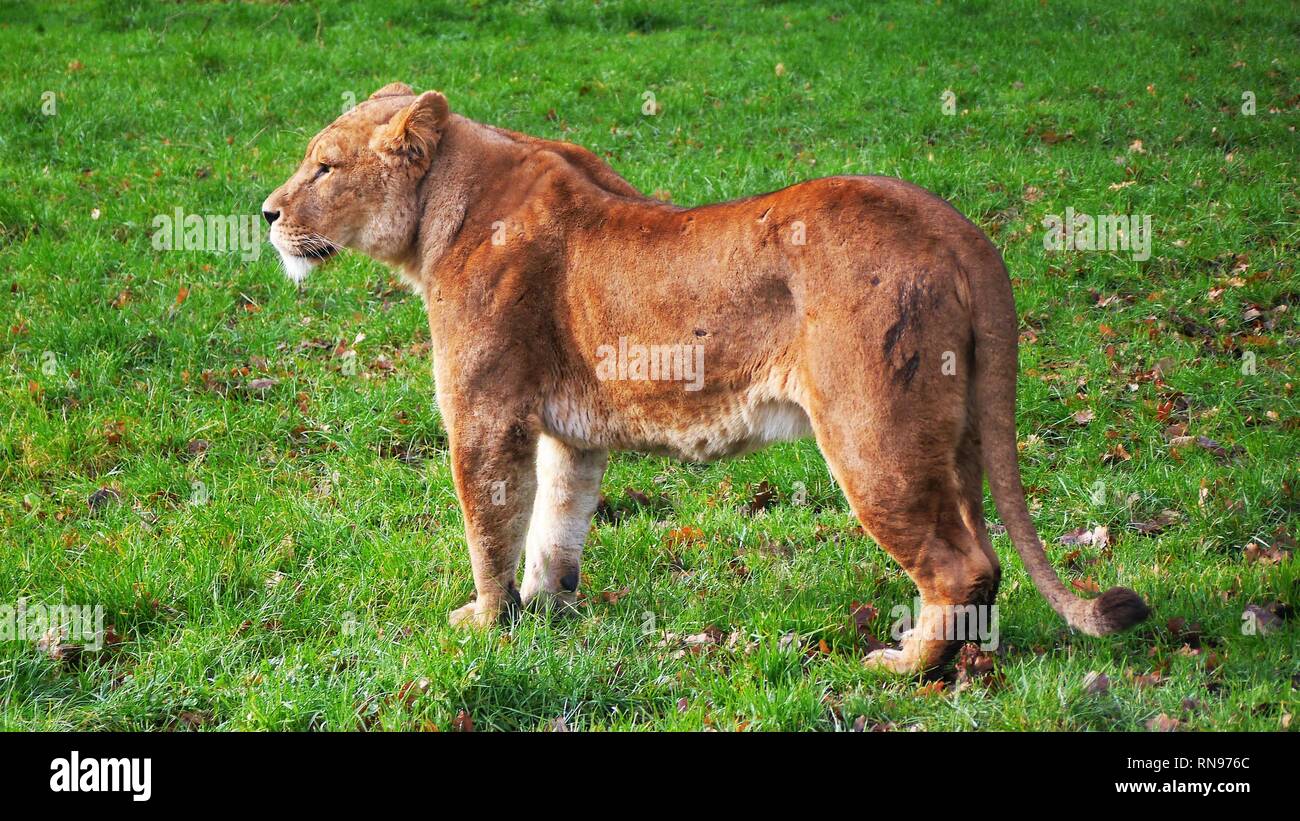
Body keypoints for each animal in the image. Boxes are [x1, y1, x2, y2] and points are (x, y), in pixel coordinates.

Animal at [261, 84, 1148, 673]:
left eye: (325, 168)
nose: (267, 214)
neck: (440, 214)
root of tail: (959, 229)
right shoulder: (570, 434)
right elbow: (556, 527)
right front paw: (547, 612)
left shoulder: (486, 415)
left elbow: (491, 527)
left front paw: (485, 623)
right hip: (955, 435)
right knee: (983, 554)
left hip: (874, 435)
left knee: (961, 564)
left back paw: (902, 669)